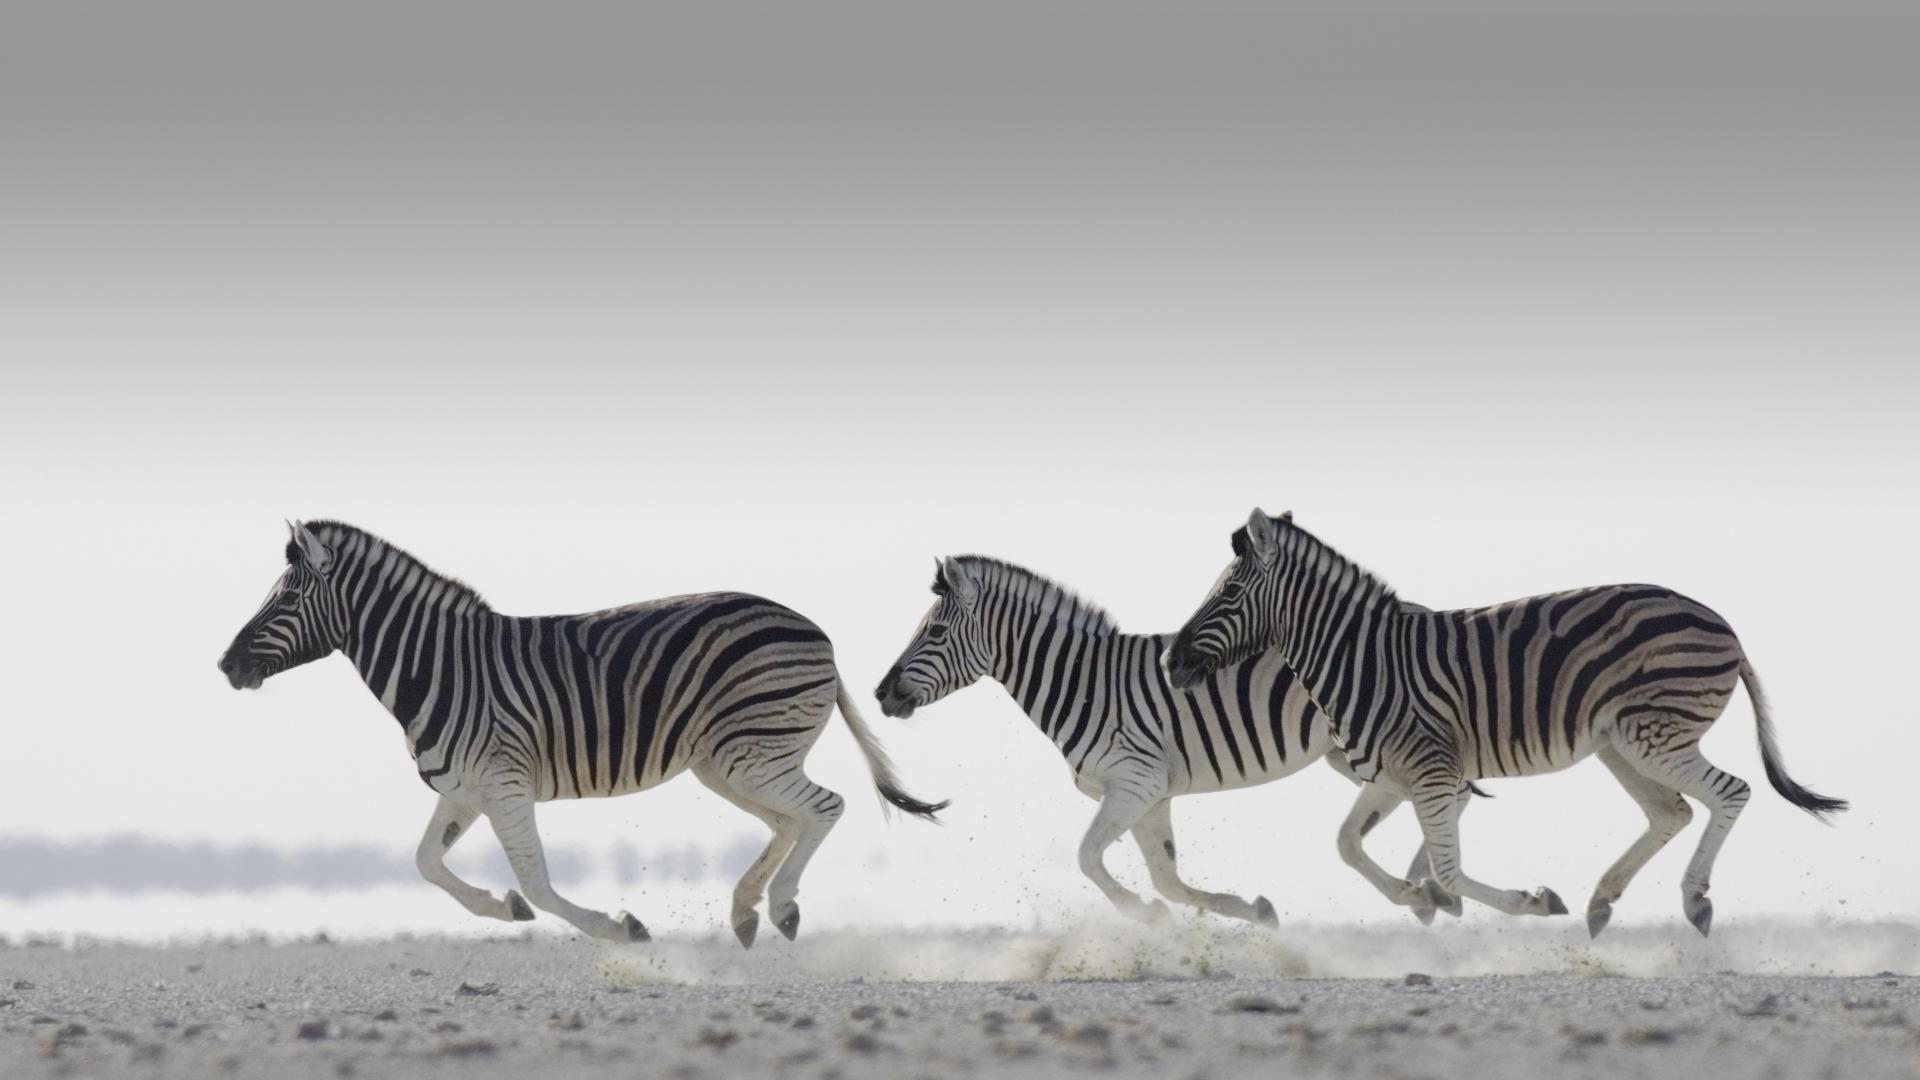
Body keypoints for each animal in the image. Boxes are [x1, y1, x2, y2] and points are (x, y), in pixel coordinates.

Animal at [217, 520, 945, 947]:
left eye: (287, 598)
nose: (225, 665)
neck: (439, 667)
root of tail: (814, 628)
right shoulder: (464, 792)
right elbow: (426, 863)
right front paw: (502, 908)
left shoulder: (505, 786)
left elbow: (538, 881)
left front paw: (618, 928)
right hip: (729, 760)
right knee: (791, 820)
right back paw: (747, 911)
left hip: (750, 752)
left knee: (825, 807)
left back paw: (782, 907)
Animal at [873, 555, 1477, 927]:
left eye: (934, 632)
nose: (881, 693)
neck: (1084, 682)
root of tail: (1423, 614)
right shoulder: (1149, 796)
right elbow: (1168, 879)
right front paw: (1252, 911)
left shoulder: (1134, 783)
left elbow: (1089, 858)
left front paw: (1143, 914)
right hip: (1349, 752)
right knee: (1449, 794)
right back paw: (1427, 891)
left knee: (1452, 793)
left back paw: (1431, 891)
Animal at [1163, 509, 1846, 937]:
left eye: (1228, 594)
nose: (1170, 662)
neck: (1362, 659)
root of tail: (1721, 621)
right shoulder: (1390, 776)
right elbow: (1349, 844)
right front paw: (1419, 898)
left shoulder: (1430, 769)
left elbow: (1449, 869)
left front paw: (1525, 902)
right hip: (1621, 744)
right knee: (1671, 812)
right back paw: (1602, 902)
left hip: (1654, 735)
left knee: (1731, 791)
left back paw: (1695, 899)